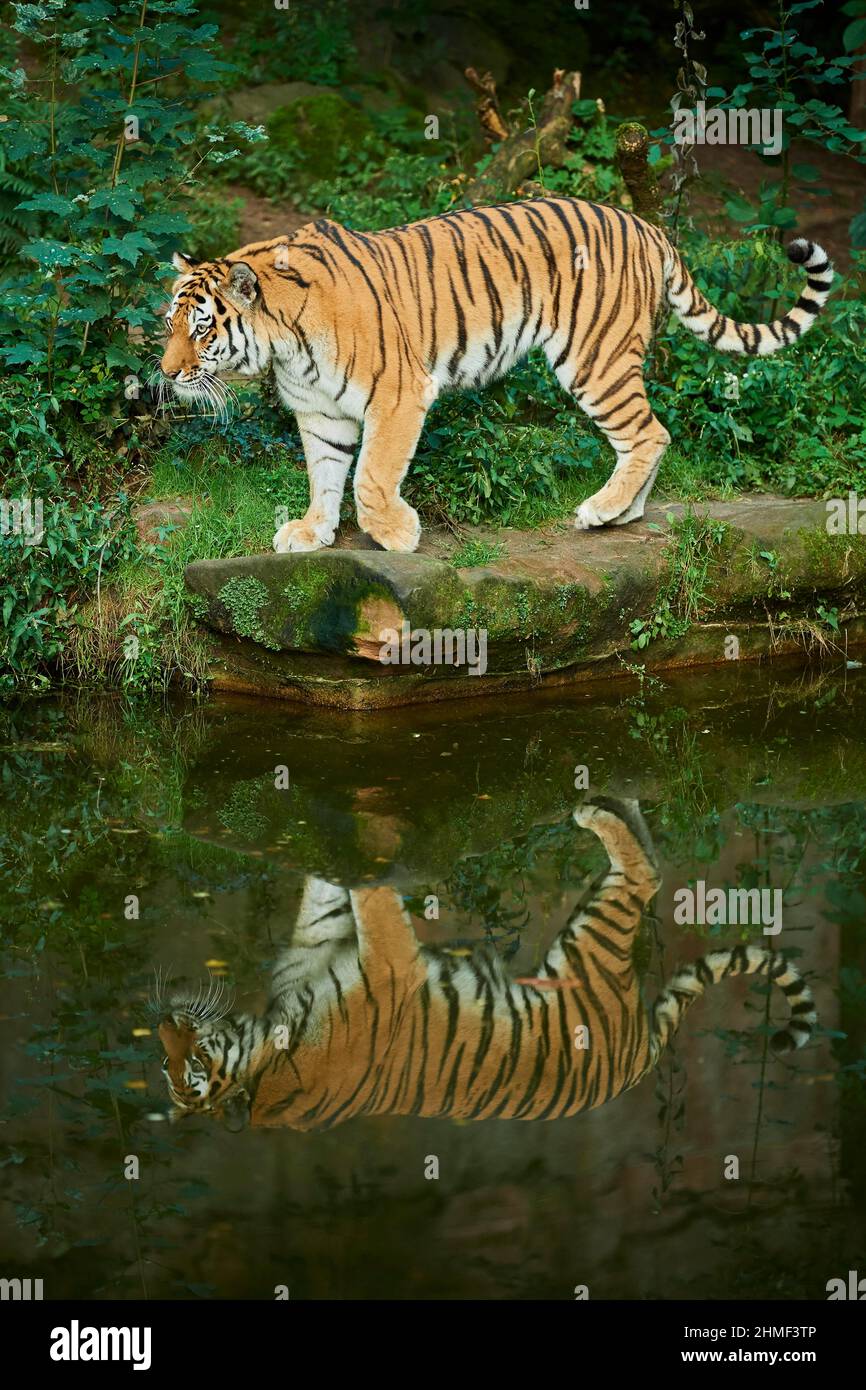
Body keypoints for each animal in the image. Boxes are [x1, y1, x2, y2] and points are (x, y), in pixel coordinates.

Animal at [157, 798, 816, 1131]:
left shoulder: (324, 941)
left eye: (184, 1061)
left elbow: (328, 881)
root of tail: (641, 1058)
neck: (266, 1050)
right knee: (645, 875)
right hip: (588, 946)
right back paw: (599, 810)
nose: (163, 1021)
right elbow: (367, 884)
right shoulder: (390, 963)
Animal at [159, 197, 833, 552]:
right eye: (169, 324)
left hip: (595, 359)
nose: (164, 374)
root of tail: (647, 226)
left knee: (649, 433)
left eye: (202, 329)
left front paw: (395, 534)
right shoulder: (320, 411)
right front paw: (311, 532)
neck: (284, 345)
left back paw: (602, 510)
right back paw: (624, 513)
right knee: (653, 435)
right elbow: (324, 475)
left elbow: (371, 476)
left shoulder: (399, 395)